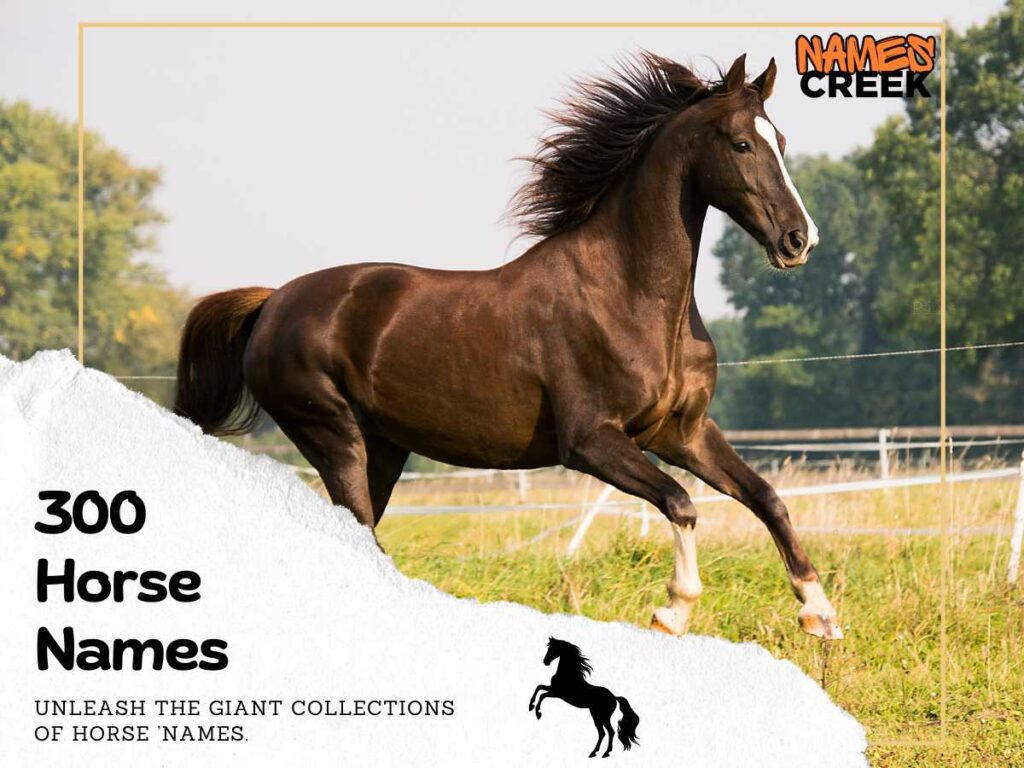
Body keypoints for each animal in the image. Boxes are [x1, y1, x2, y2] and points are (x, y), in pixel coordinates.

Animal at [174, 52, 843, 640]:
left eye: (781, 141)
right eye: (740, 144)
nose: (799, 239)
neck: (629, 295)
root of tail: (272, 302)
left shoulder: (682, 432)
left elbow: (767, 497)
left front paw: (820, 616)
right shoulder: (591, 442)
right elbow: (681, 503)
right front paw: (672, 613)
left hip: (382, 450)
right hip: (334, 436)